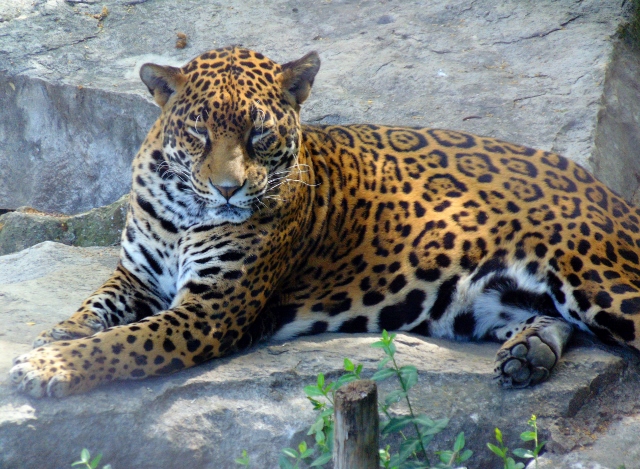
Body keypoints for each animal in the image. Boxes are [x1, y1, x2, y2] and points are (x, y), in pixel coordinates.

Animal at [10, 46, 640, 398]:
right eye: (199, 134)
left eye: (259, 135)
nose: (228, 189)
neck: (185, 210)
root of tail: (608, 192)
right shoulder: (136, 275)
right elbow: (98, 309)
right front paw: (59, 335)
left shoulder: (210, 312)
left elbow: (125, 342)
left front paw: (47, 364)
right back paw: (530, 353)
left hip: (597, 284)